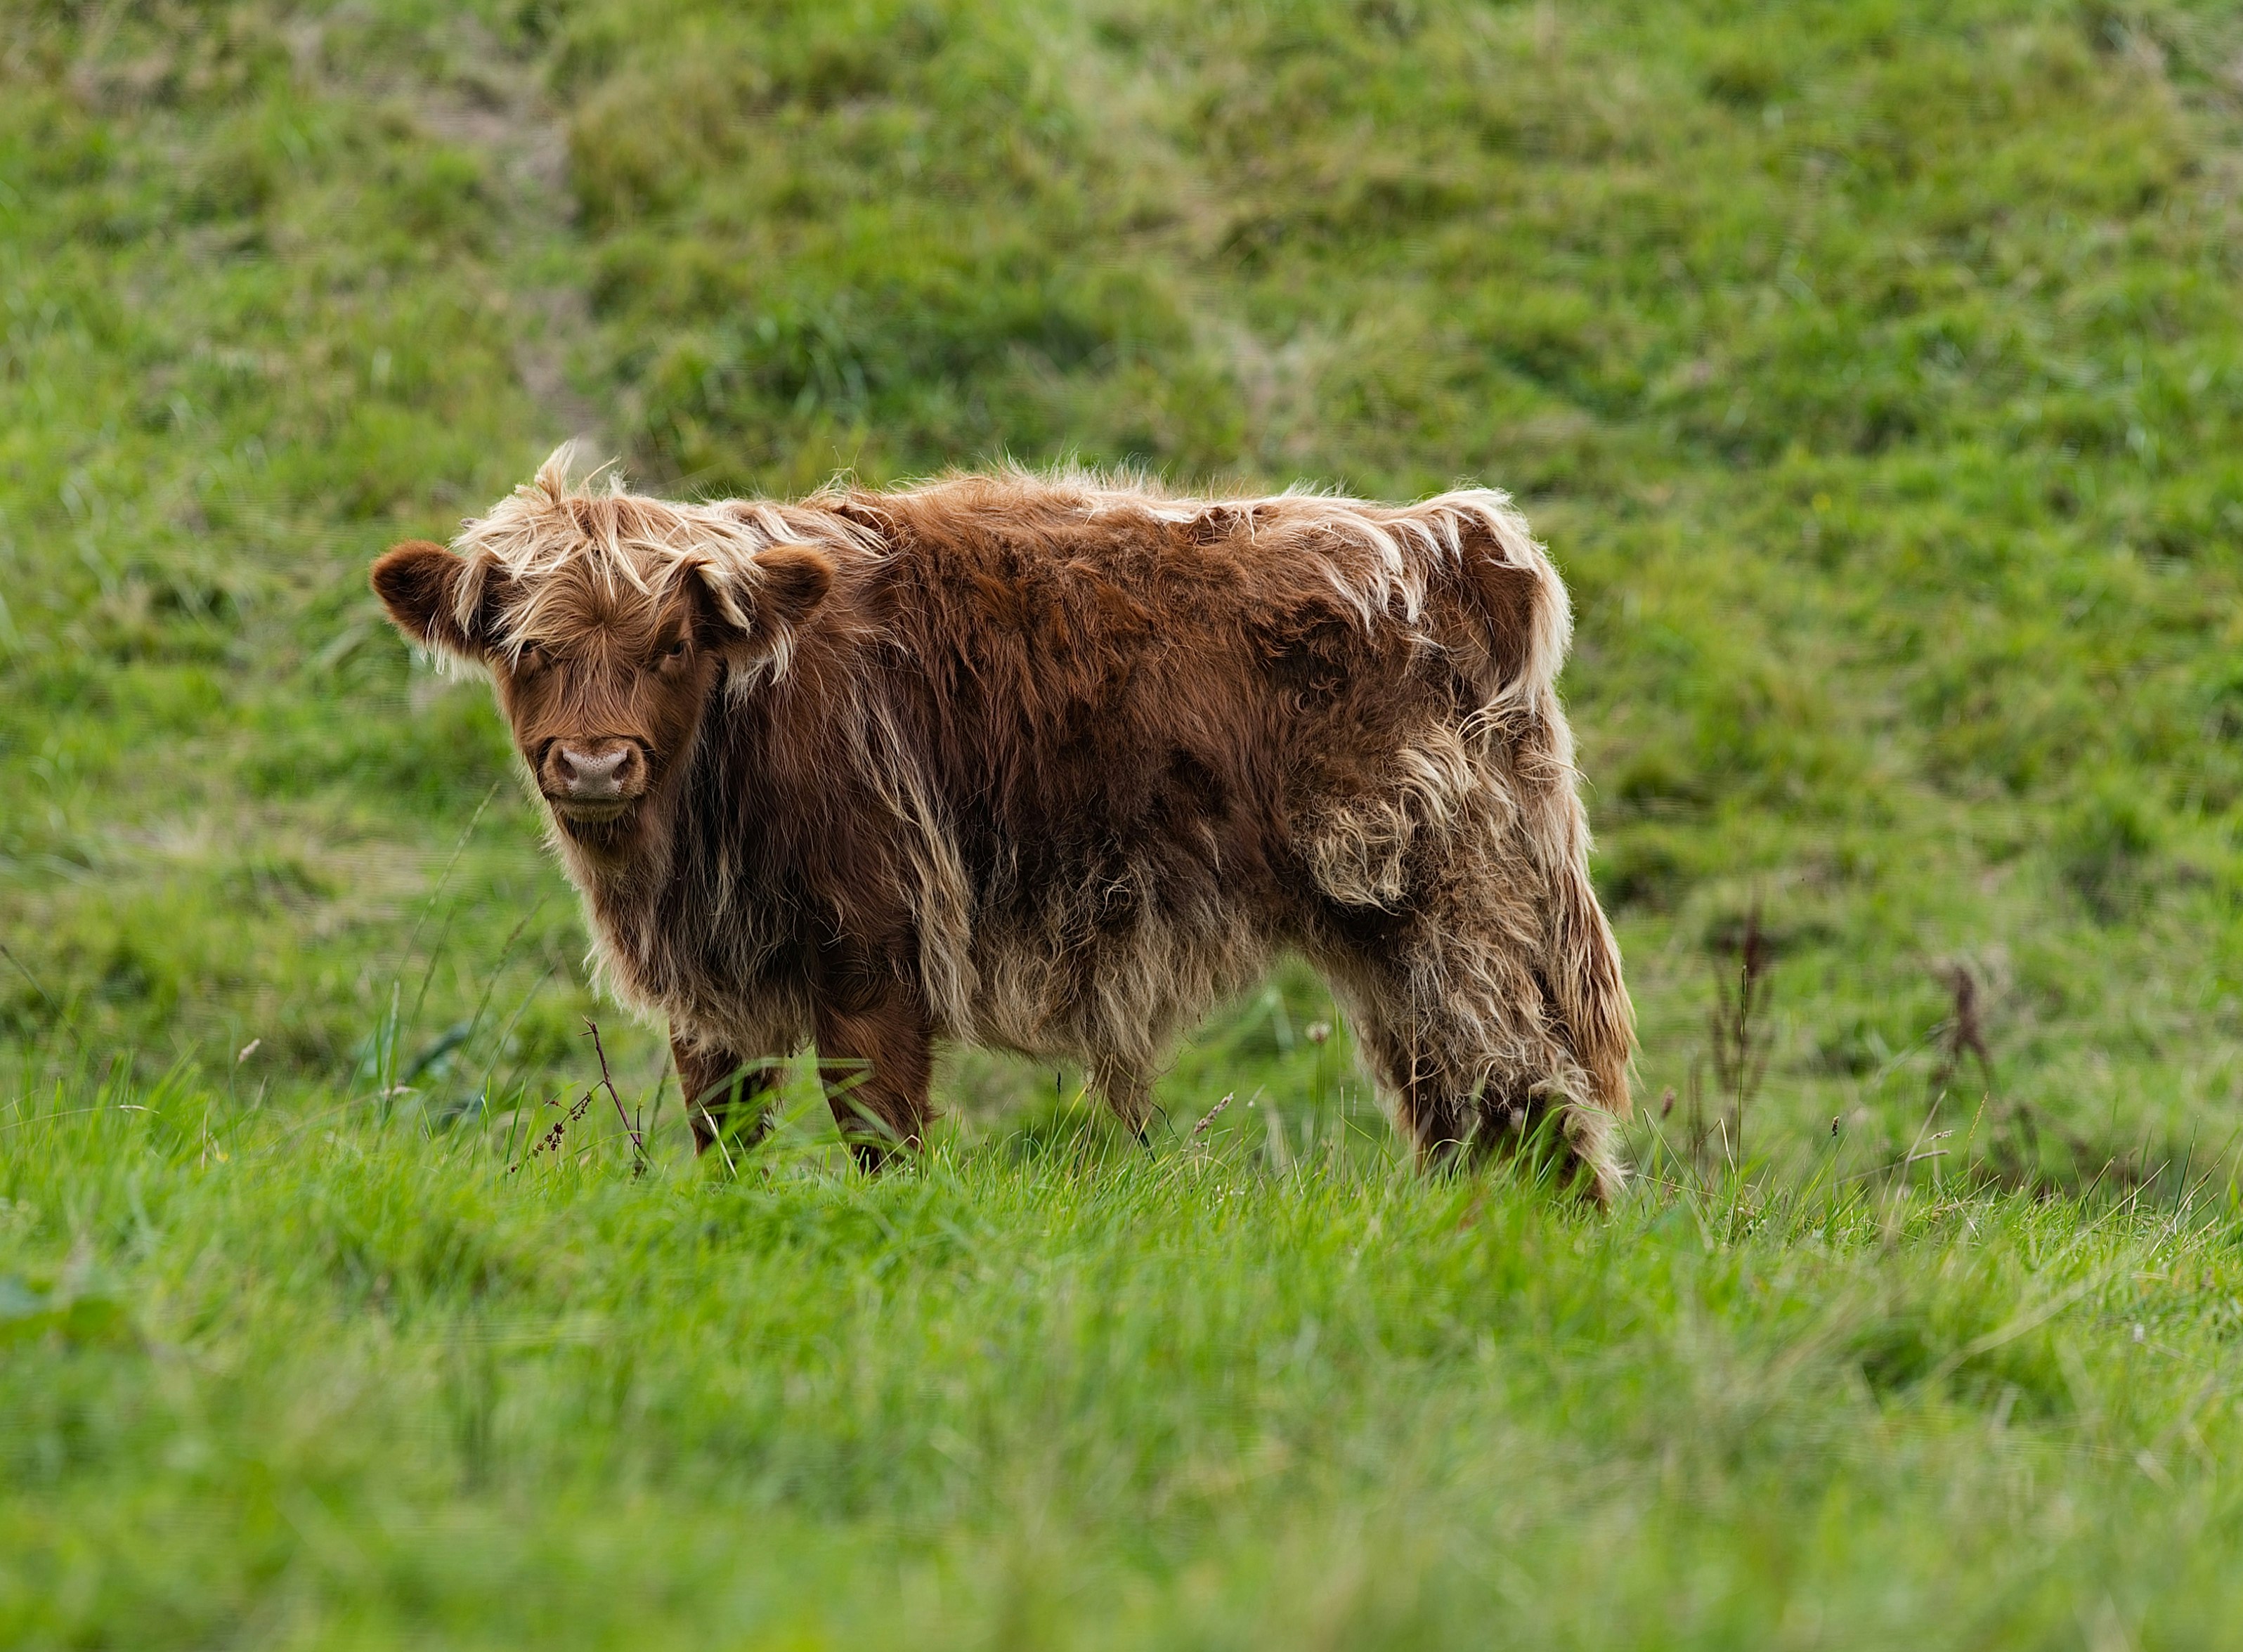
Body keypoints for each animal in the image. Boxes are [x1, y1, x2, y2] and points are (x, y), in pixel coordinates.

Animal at [371, 451, 1634, 1199]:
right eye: (525, 646)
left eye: (671, 642)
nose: (594, 762)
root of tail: (1450, 531)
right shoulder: (711, 983)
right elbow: (722, 1130)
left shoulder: (874, 949)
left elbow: (879, 1125)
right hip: (1385, 938)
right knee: (1455, 1109)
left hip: (1459, 918)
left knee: (1529, 1101)